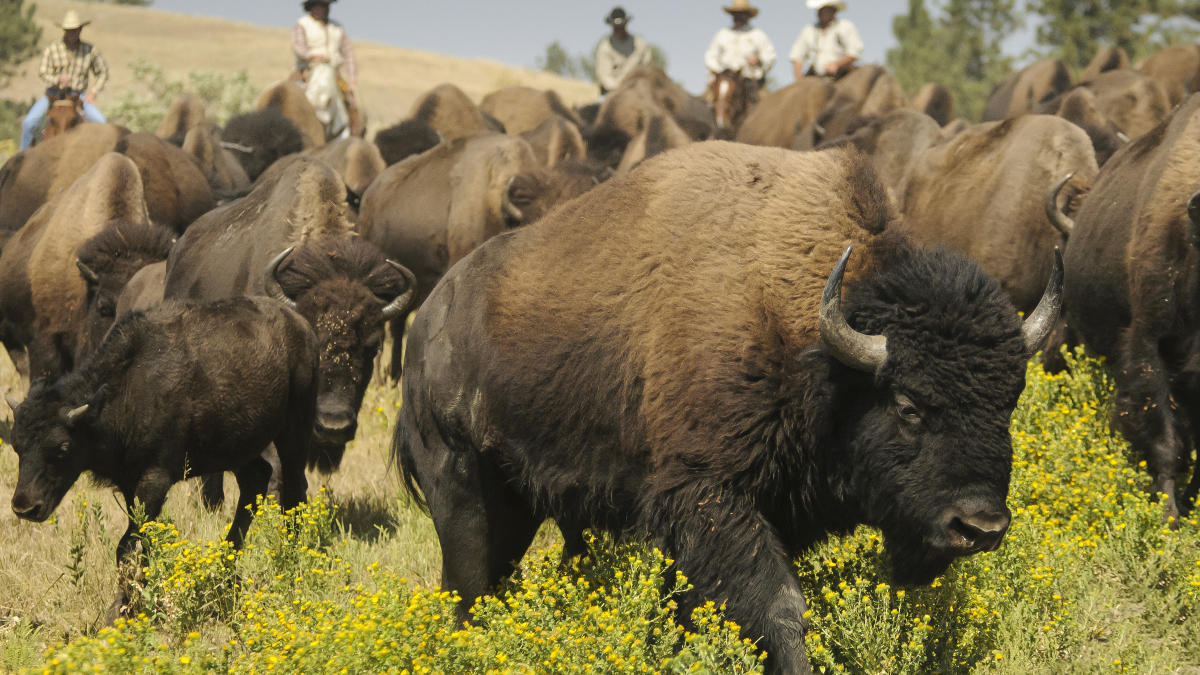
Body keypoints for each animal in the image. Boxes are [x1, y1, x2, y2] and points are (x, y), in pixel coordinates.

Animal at [393, 142, 1061, 673]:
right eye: (907, 404)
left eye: (1011, 400)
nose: (980, 527)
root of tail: (427, 324)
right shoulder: (709, 495)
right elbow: (779, 606)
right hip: (460, 486)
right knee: (465, 584)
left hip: (522, 501)